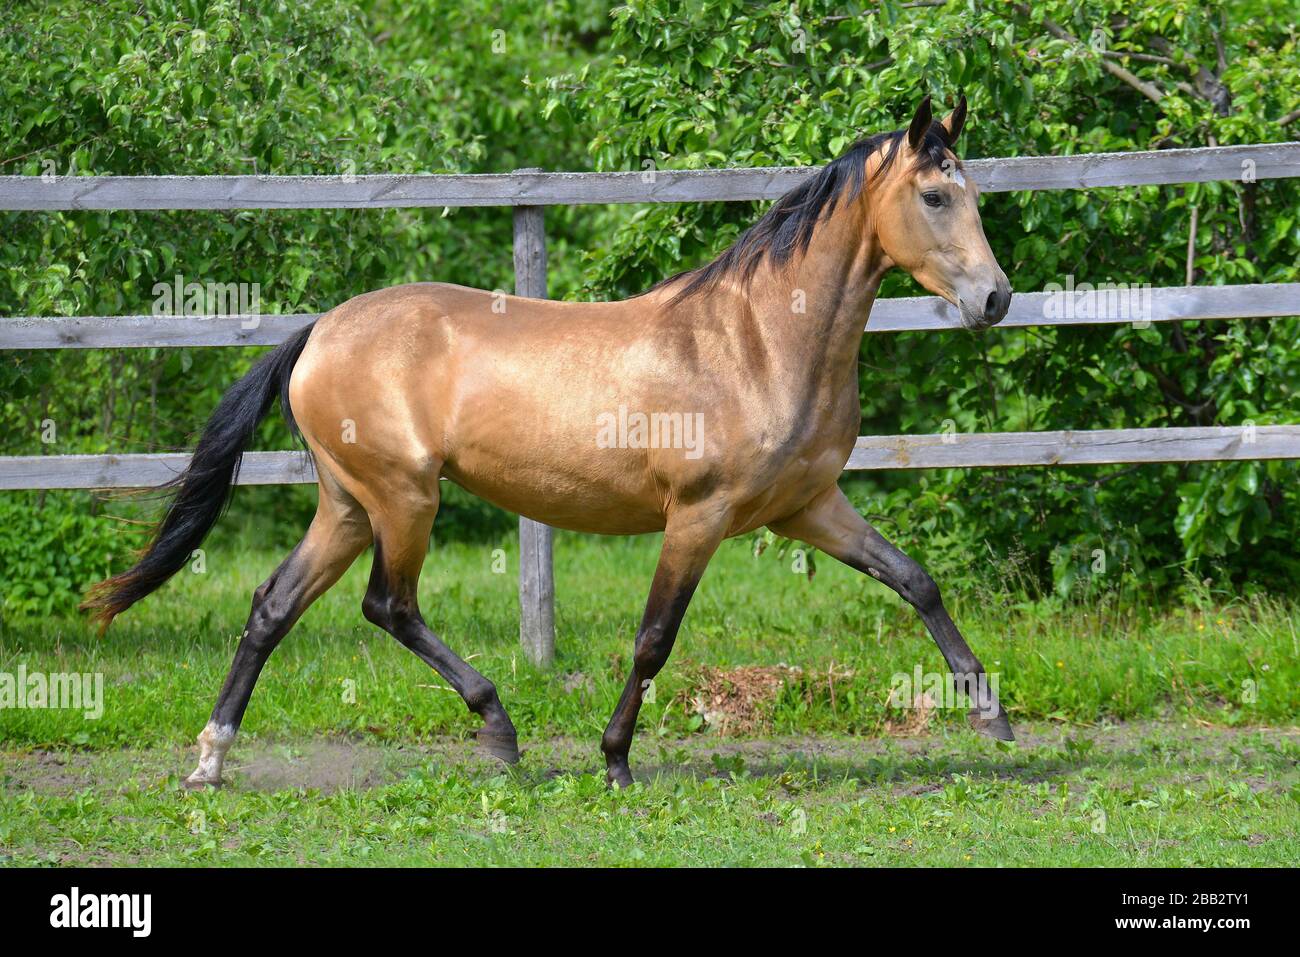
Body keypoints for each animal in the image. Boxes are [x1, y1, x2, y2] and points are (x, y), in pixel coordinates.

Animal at [84, 95, 1013, 789]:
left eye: (973, 195)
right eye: (936, 196)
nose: (995, 298)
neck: (755, 341)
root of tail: (318, 331)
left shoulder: (807, 506)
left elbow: (915, 580)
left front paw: (991, 712)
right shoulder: (699, 515)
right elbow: (654, 637)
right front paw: (615, 761)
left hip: (347, 504)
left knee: (274, 606)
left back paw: (211, 759)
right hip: (403, 497)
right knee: (389, 605)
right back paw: (499, 729)